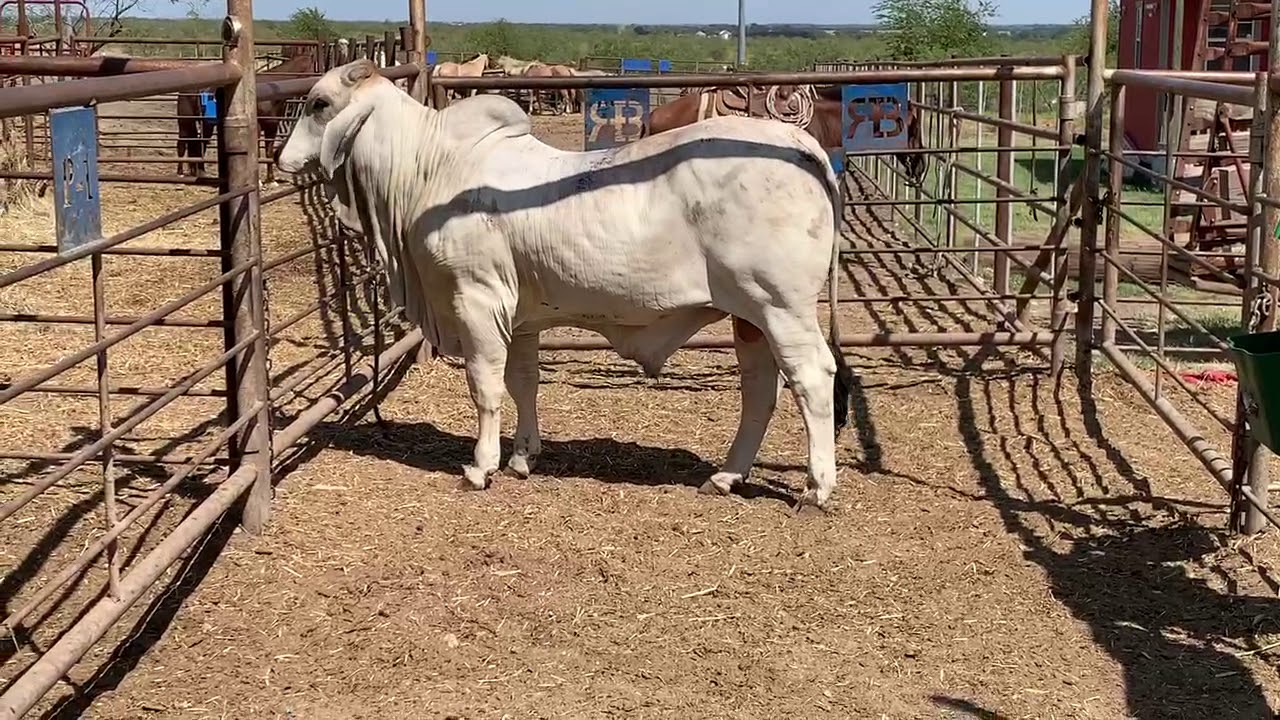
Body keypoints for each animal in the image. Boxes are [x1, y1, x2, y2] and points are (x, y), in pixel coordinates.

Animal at [275, 59, 855, 511]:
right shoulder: (521, 317)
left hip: (781, 307)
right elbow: (523, 382)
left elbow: (485, 387)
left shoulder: (477, 299)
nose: (281, 160)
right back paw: (725, 476)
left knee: (811, 378)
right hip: (749, 315)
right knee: (760, 389)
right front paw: (523, 456)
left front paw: (481, 466)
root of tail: (801, 145)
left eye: (319, 104)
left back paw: (815, 490)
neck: (428, 169)